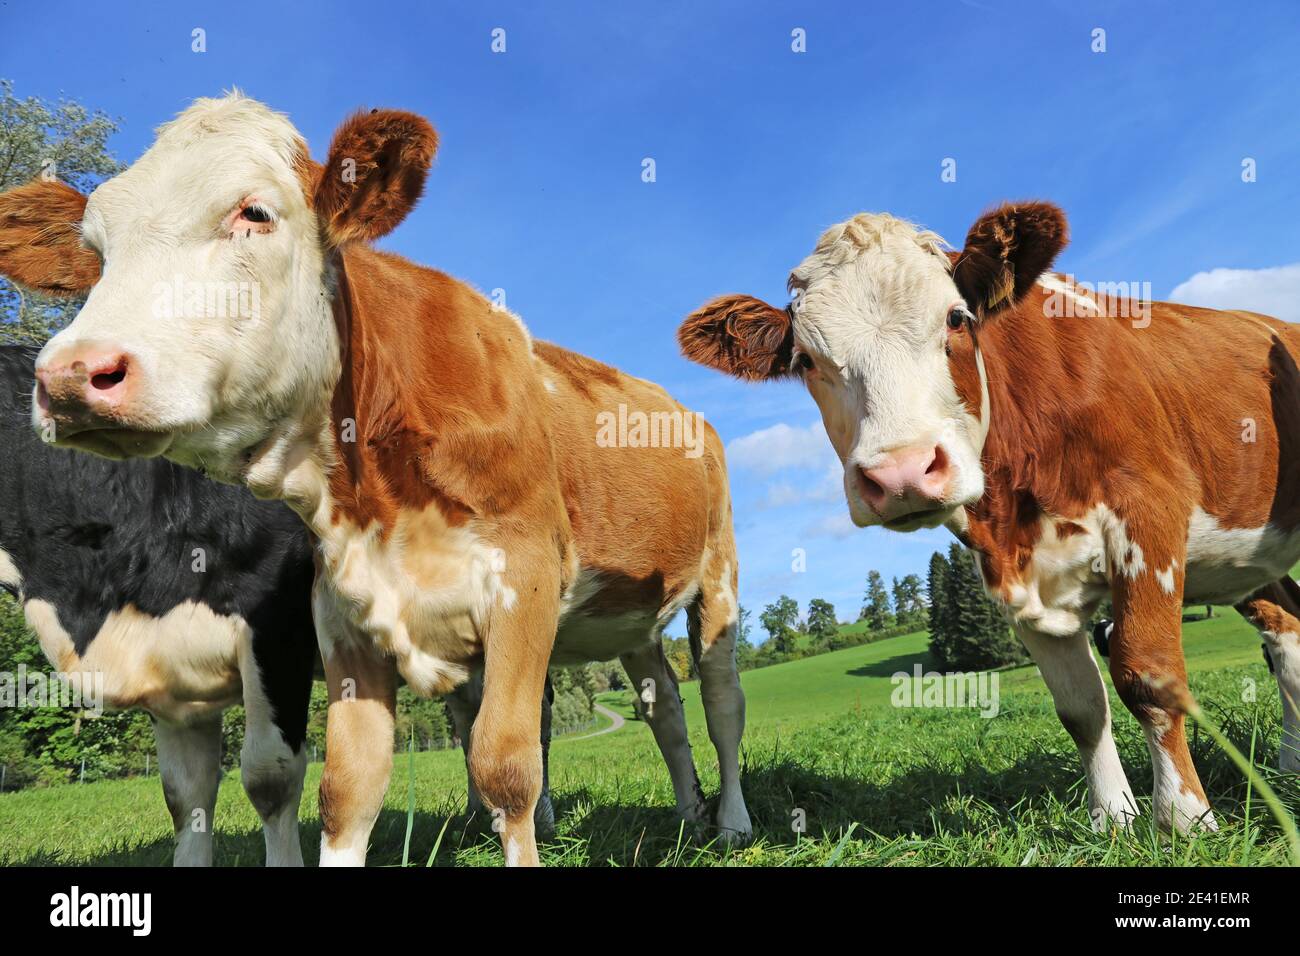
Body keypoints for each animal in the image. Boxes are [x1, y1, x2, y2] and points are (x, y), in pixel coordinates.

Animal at [677, 202, 1300, 834]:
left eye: (956, 318)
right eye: (805, 359)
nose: (901, 474)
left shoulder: (1148, 517)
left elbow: (1147, 674)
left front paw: (1182, 820)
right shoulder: (1014, 577)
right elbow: (1081, 707)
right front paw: (1113, 822)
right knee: (1288, 631)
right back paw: (1290, 765)